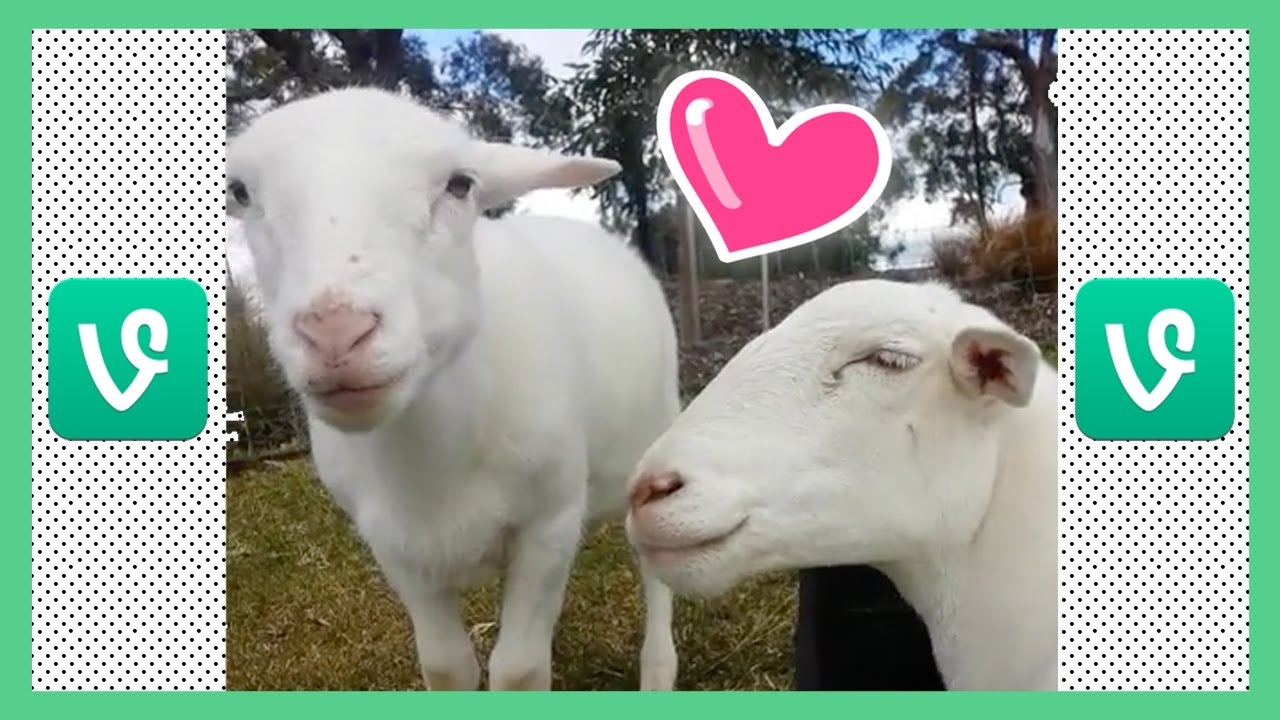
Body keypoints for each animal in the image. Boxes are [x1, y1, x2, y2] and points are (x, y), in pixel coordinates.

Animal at [226, 86, 681, 691]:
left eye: (460, 184)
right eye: (240, 192)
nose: (336, 333)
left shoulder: (550, 521)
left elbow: (518, 669)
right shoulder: (394, 546)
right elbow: (446, 665)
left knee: (654, 566)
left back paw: (658, 668)